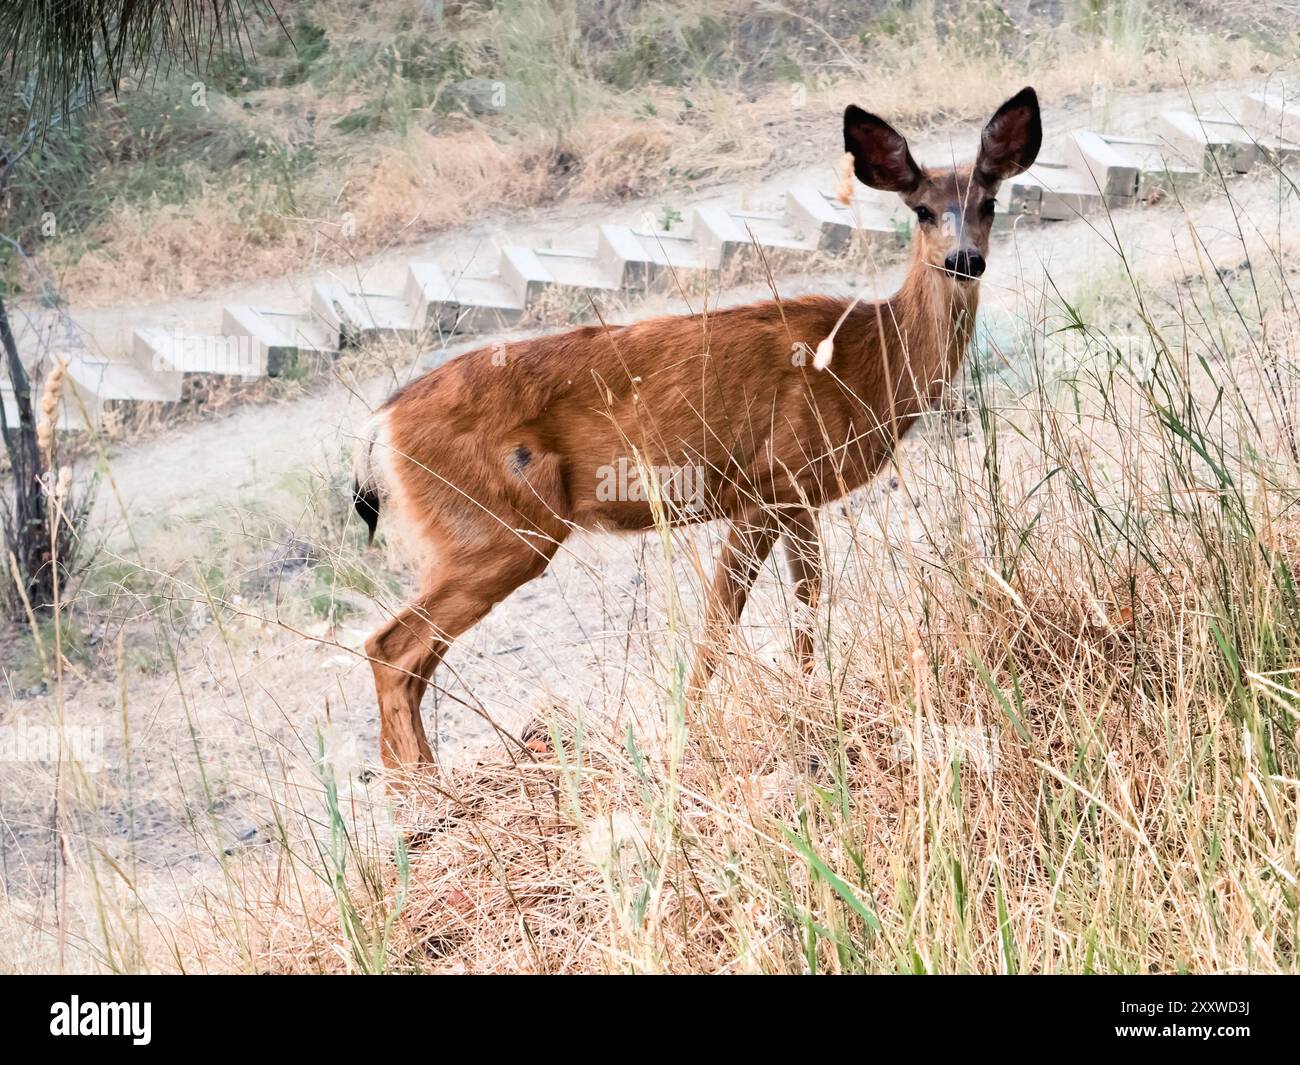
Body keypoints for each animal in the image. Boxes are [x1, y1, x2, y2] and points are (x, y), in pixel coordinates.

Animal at [352, 88, 1042, 771]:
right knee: (390, 648)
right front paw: (691, 733)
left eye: (989, 201)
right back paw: (421, 789)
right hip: (498, 530)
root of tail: (381, 426)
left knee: (411, 659)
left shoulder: (797, 499)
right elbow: (722, 623)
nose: (963, 259)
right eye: (921, 210)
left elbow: (804, 610)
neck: (869, 356)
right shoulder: (771, 484)